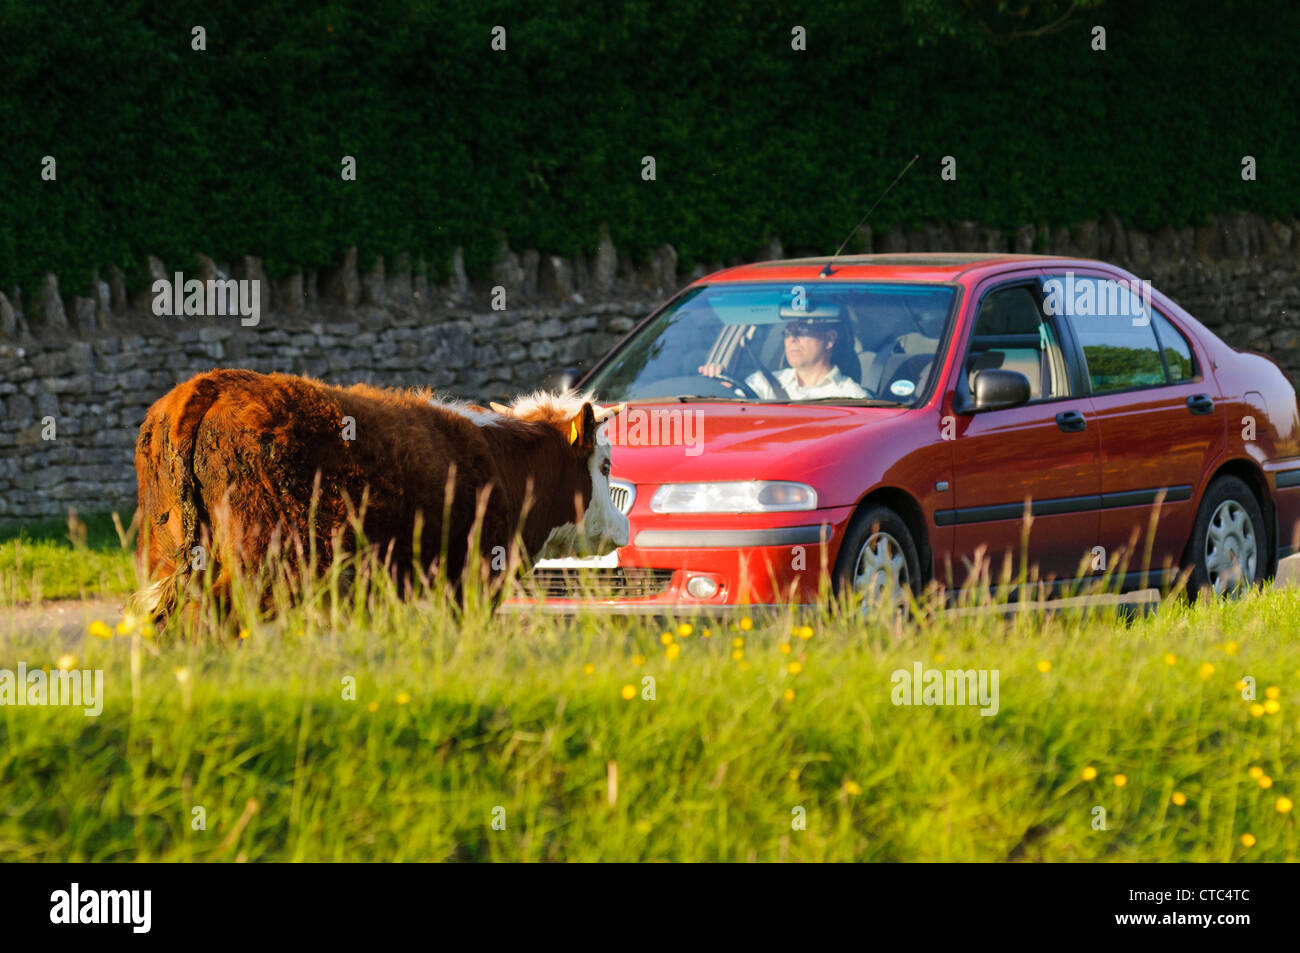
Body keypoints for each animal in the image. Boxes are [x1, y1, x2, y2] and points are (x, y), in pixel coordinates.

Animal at [131, 368, 629, 625]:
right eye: (605, 465)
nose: (624, 525)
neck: (503, 466)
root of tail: (210, 386)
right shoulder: (471, 584)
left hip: (170, 561)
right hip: (259, 567)